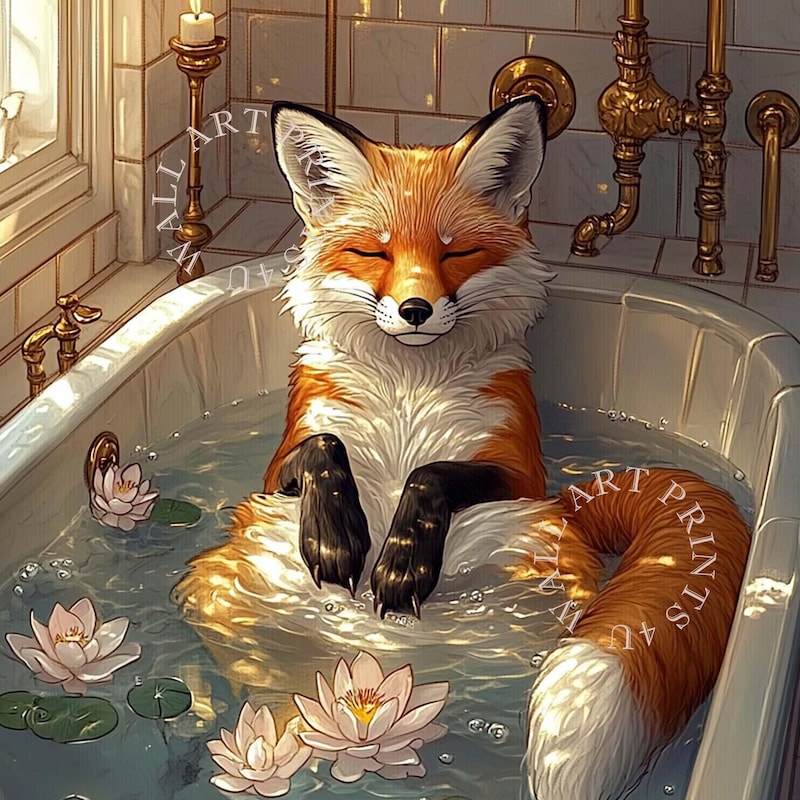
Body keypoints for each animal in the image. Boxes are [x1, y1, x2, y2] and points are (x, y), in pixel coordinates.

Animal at [174, 96, 751, 800]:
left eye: (457, 254)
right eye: (375, 253)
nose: (415, 310)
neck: (409, 384)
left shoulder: (516, 469)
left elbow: (432, 474)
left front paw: (401, 562)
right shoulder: (286, 456)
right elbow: (325, 451)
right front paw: (338, 537)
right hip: (230, 603)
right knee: (278, 705)